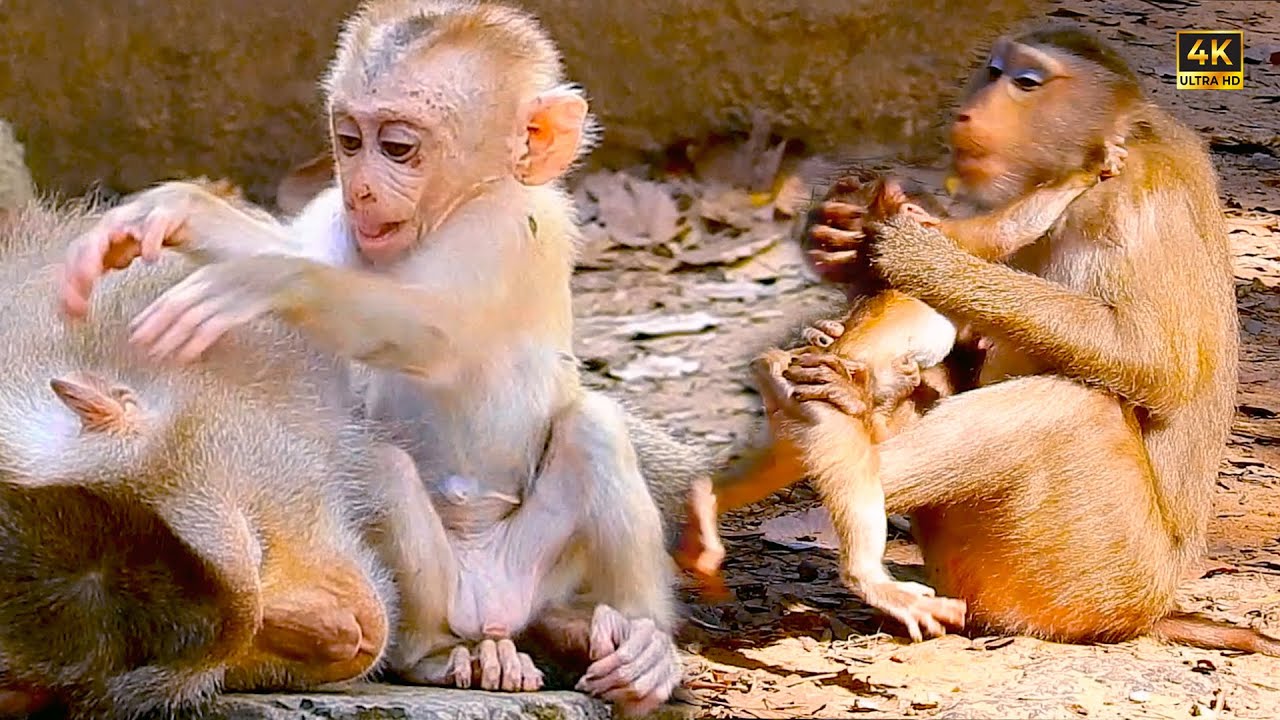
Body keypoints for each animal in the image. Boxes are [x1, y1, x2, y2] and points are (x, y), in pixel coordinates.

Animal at [58, 1, 686, 713]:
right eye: (349, 141)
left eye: (398, 148)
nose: (360, 189)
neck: (457, 208)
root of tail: (491, 606)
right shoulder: (337, 221)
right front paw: (181, 213)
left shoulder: (503, 230)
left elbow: (436, 333)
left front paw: (262, 281)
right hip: (460, 594)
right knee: (383, 469)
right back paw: (444, 656)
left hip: (536, 573)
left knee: (592, 427)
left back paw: (640, 642)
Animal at [730, 27, 1280, 655]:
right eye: (993, 72)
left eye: (1026, 82)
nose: (970, 110)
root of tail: (1155, 608)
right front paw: (841, 265)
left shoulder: (1141, 198)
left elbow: (1158, 364)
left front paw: (911, 256)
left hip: (1100, 576)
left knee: (1065, 407)